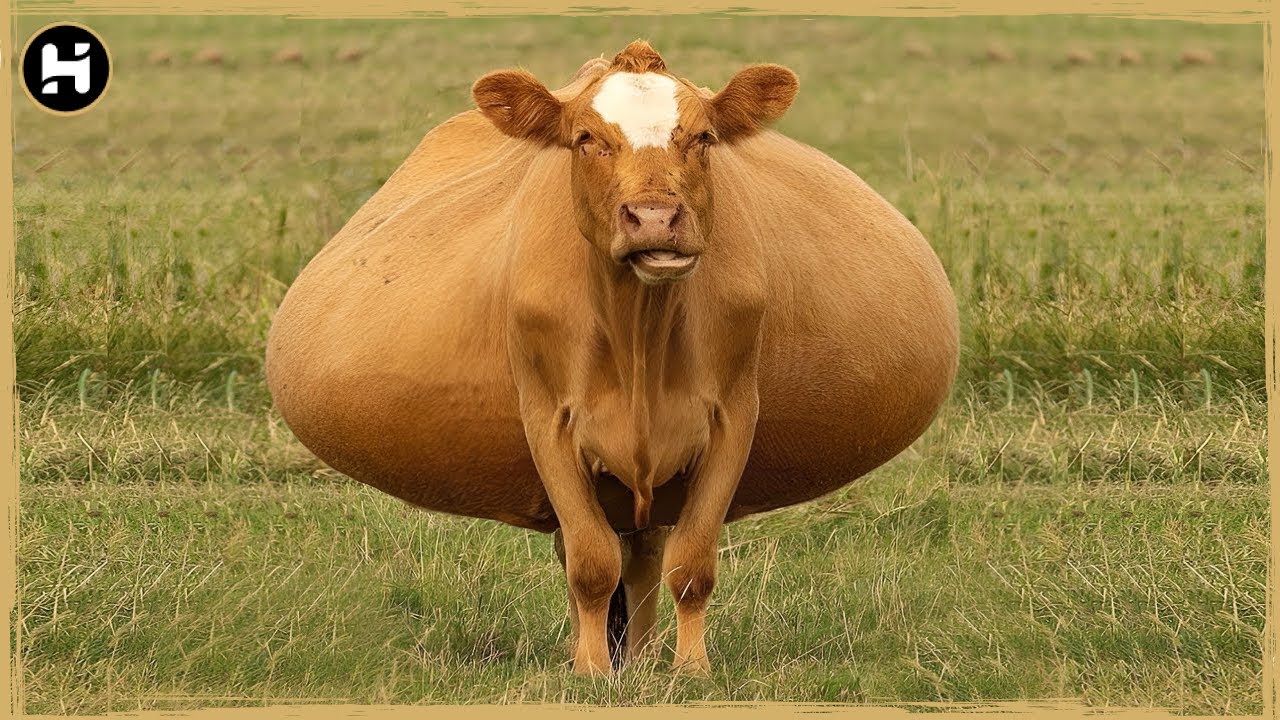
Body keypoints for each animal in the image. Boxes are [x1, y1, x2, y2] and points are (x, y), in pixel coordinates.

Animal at [265, 40, 959, 677]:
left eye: (703, 136)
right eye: (586, 139)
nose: (654, 217)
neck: (640, 335)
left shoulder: (733, 415)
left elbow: (692, 562)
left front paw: (690, 670)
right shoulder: (548, 420)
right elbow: (591, 564)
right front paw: (592, 670)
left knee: (647, 553)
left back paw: (645, 660)